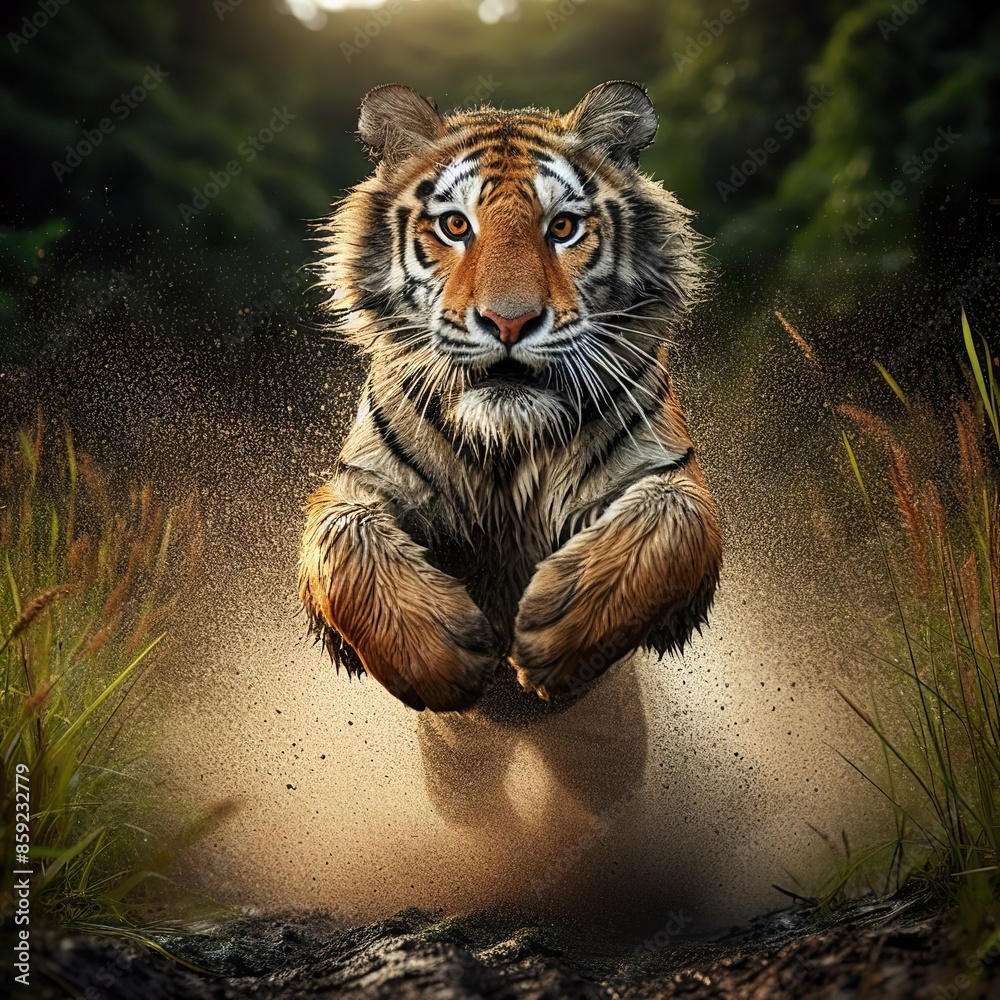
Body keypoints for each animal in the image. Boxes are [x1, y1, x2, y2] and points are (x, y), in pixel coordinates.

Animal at [298, 81, 723, 717]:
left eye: (563, 227)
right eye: (455, 226)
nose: (509, 321)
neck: (509, 440)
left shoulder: (667, 471)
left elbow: (673, 522)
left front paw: (558, 631)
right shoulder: (360, 484)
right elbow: (343, 541)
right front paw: (437, 658)